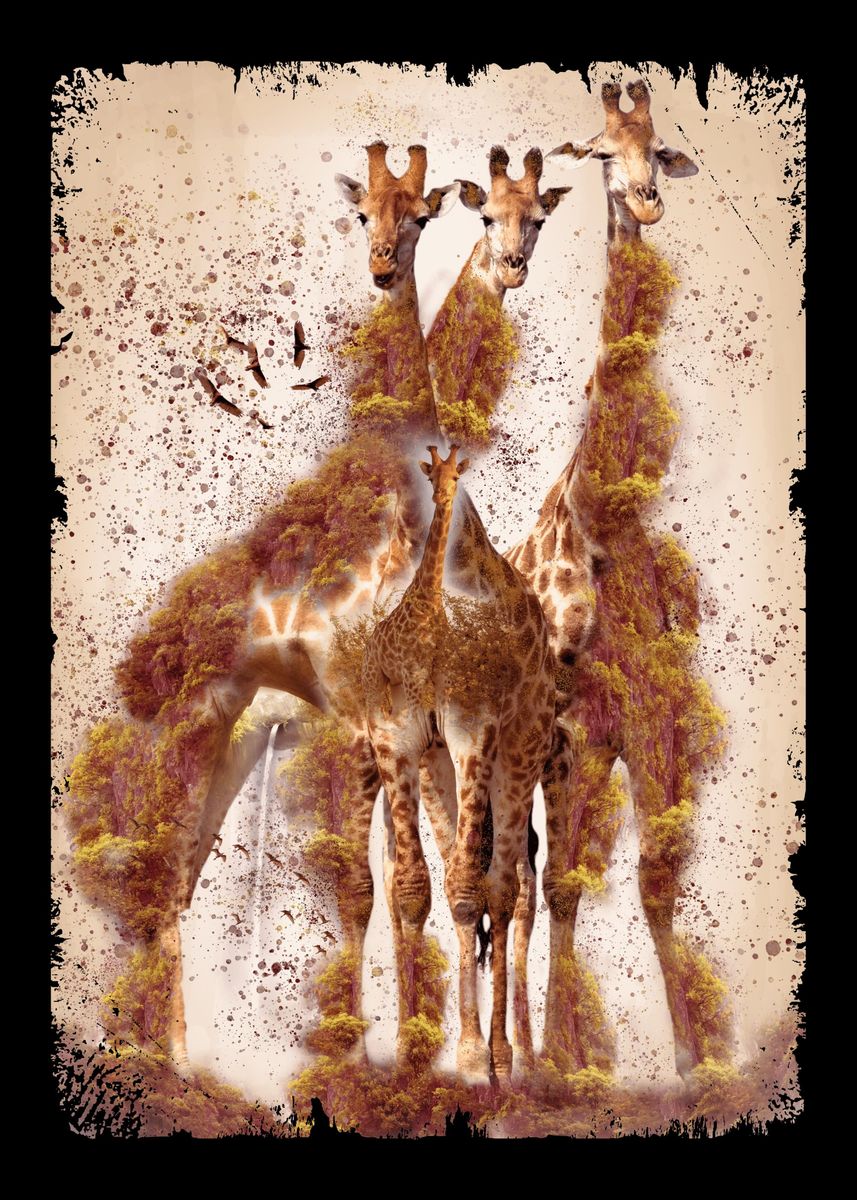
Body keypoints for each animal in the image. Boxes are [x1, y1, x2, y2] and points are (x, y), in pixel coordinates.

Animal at [363, 444, 555, 1082]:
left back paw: (505, 1056)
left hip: (522, 750)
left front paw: (473, 1059)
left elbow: (474, 888)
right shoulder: (398, 741)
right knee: (466, 876)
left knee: (510, 885)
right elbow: (412, 886)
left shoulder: (476, 731)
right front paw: (409, 1056)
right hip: (440, 766)